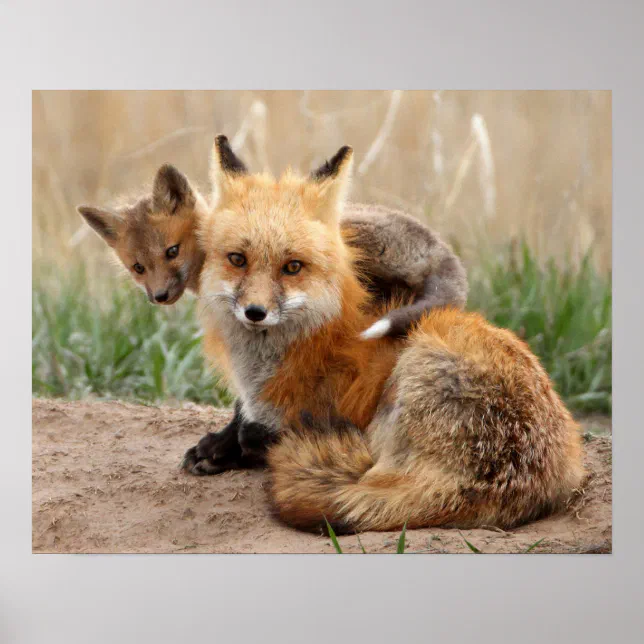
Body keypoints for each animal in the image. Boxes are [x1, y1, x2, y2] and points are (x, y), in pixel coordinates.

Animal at [76, 150, 468, 473]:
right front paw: (226, 446)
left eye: (172, 251)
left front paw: (228, 447)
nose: (159, 295)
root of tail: (442, 249)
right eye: (138, 267)